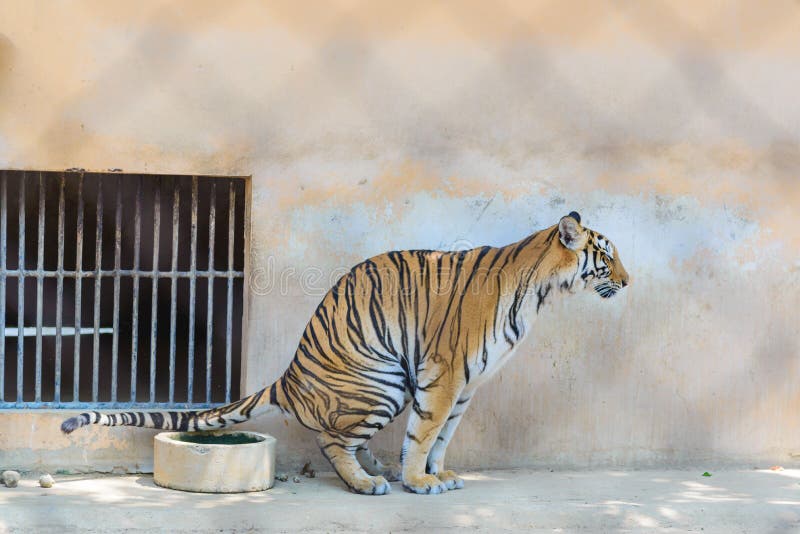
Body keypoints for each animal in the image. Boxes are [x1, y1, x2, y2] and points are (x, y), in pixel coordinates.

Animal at [61, 211, 629, 495]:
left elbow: (443, 437)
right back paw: (367, 482)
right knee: (331, 441)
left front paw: (438, 473)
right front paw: (419, 481)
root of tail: (290, 375)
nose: (628, 281)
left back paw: (377, 469)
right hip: (383, 382)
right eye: (606, 256)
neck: (542, 291)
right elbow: (425, 434)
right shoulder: (444, 375)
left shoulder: (466, 387)